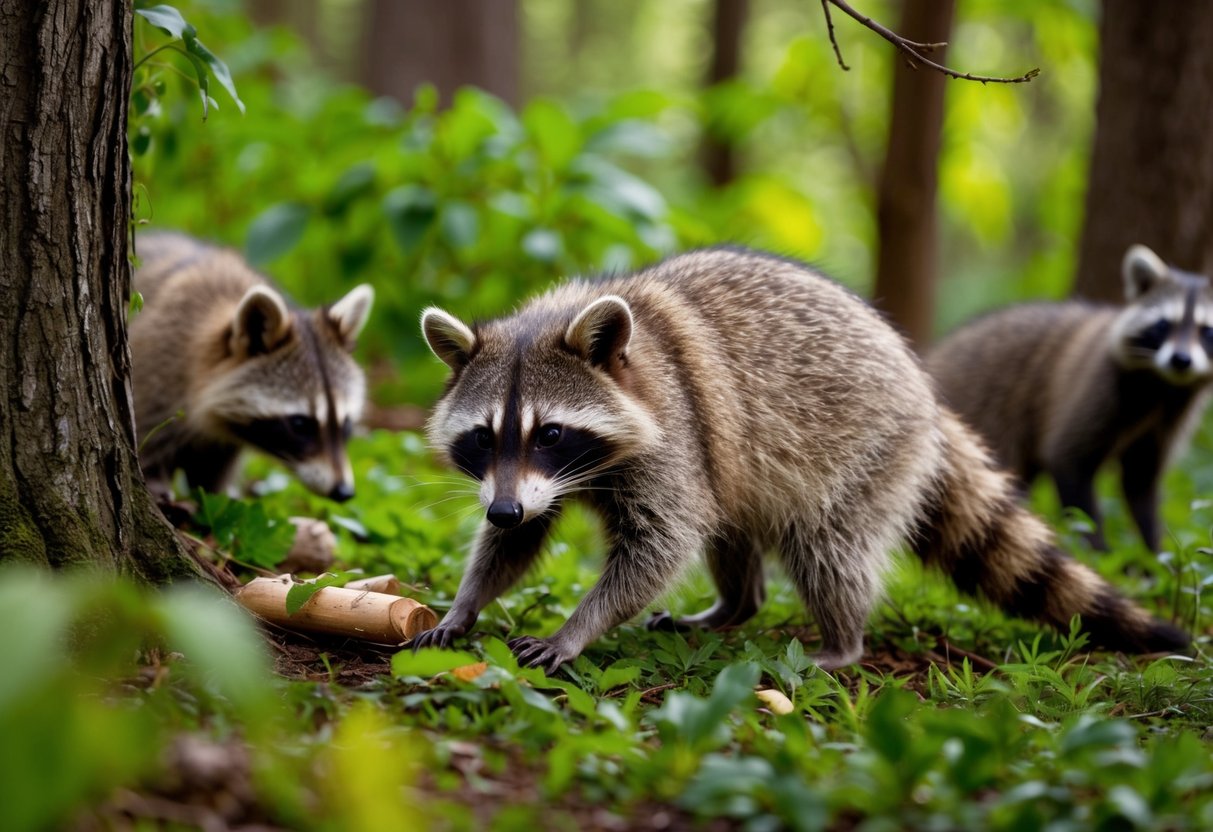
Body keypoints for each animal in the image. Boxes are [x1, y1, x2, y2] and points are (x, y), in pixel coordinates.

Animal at [130, 232, 374, 502]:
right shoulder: (155, 378)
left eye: (346, 424)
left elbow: (210, 483)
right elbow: (147, 445)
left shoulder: (223, 446)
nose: (343, 491)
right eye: (300, 424)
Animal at [927, 245, 1213, 552]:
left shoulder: (1169, 419)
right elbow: (1068, 460)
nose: (1180, 360)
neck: (1163, 385)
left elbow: (1141, 484)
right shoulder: (1097, 387)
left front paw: (1153, 550)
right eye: (1163, 325)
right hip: (984, 413)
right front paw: (1097, 548)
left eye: (1206, 331)